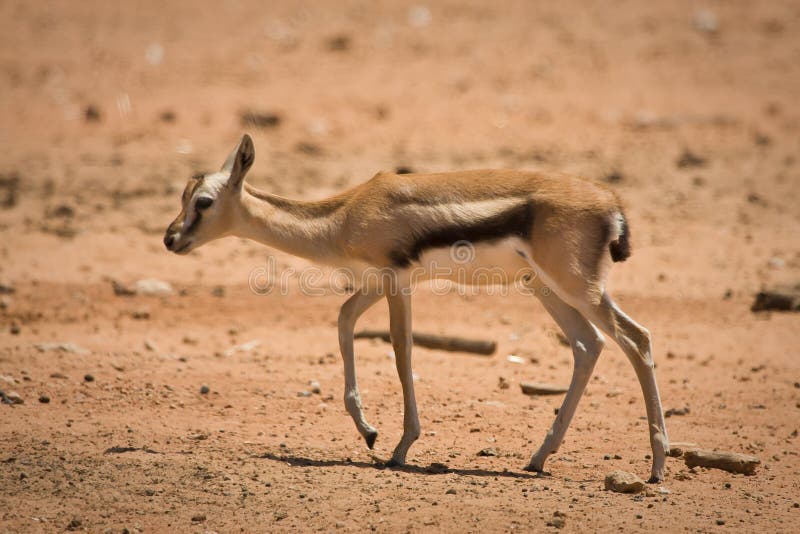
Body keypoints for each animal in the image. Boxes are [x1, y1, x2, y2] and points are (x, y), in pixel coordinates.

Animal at [164, 134, 670, 482]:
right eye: (182, 196)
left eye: (203, 201)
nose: (170, 238)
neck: (345, 214)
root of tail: (612, 204)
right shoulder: (374, 283)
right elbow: (344, 320)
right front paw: (368, 431)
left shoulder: (394, 281)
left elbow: (401, 353)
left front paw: (399, 447)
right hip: (545, 288)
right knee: (589, 345)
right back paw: (538, 458)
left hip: (575, 287)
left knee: (636, 338)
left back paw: (657, 466)